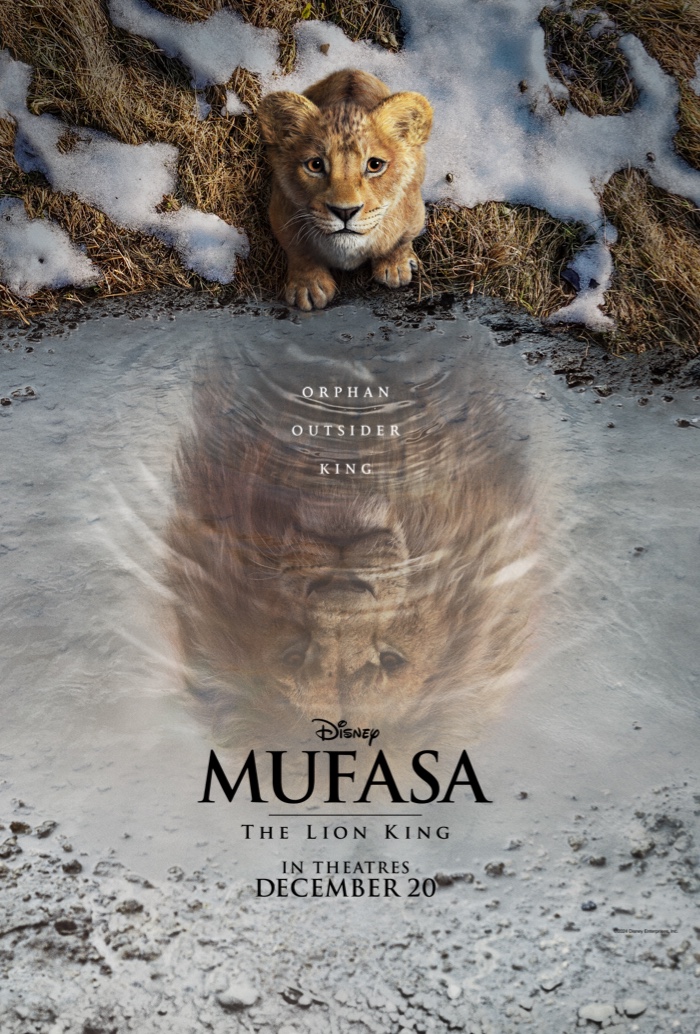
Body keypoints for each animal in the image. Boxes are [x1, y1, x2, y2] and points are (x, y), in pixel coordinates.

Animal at [257, 69, 433, 311]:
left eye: (375, 165)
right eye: (315, 165)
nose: (345, 212)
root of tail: (351, 71)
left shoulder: (414, 212)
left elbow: (400, 241)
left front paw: (395, 267)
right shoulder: (281, 212)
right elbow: (299, 250)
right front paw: (308, 287)